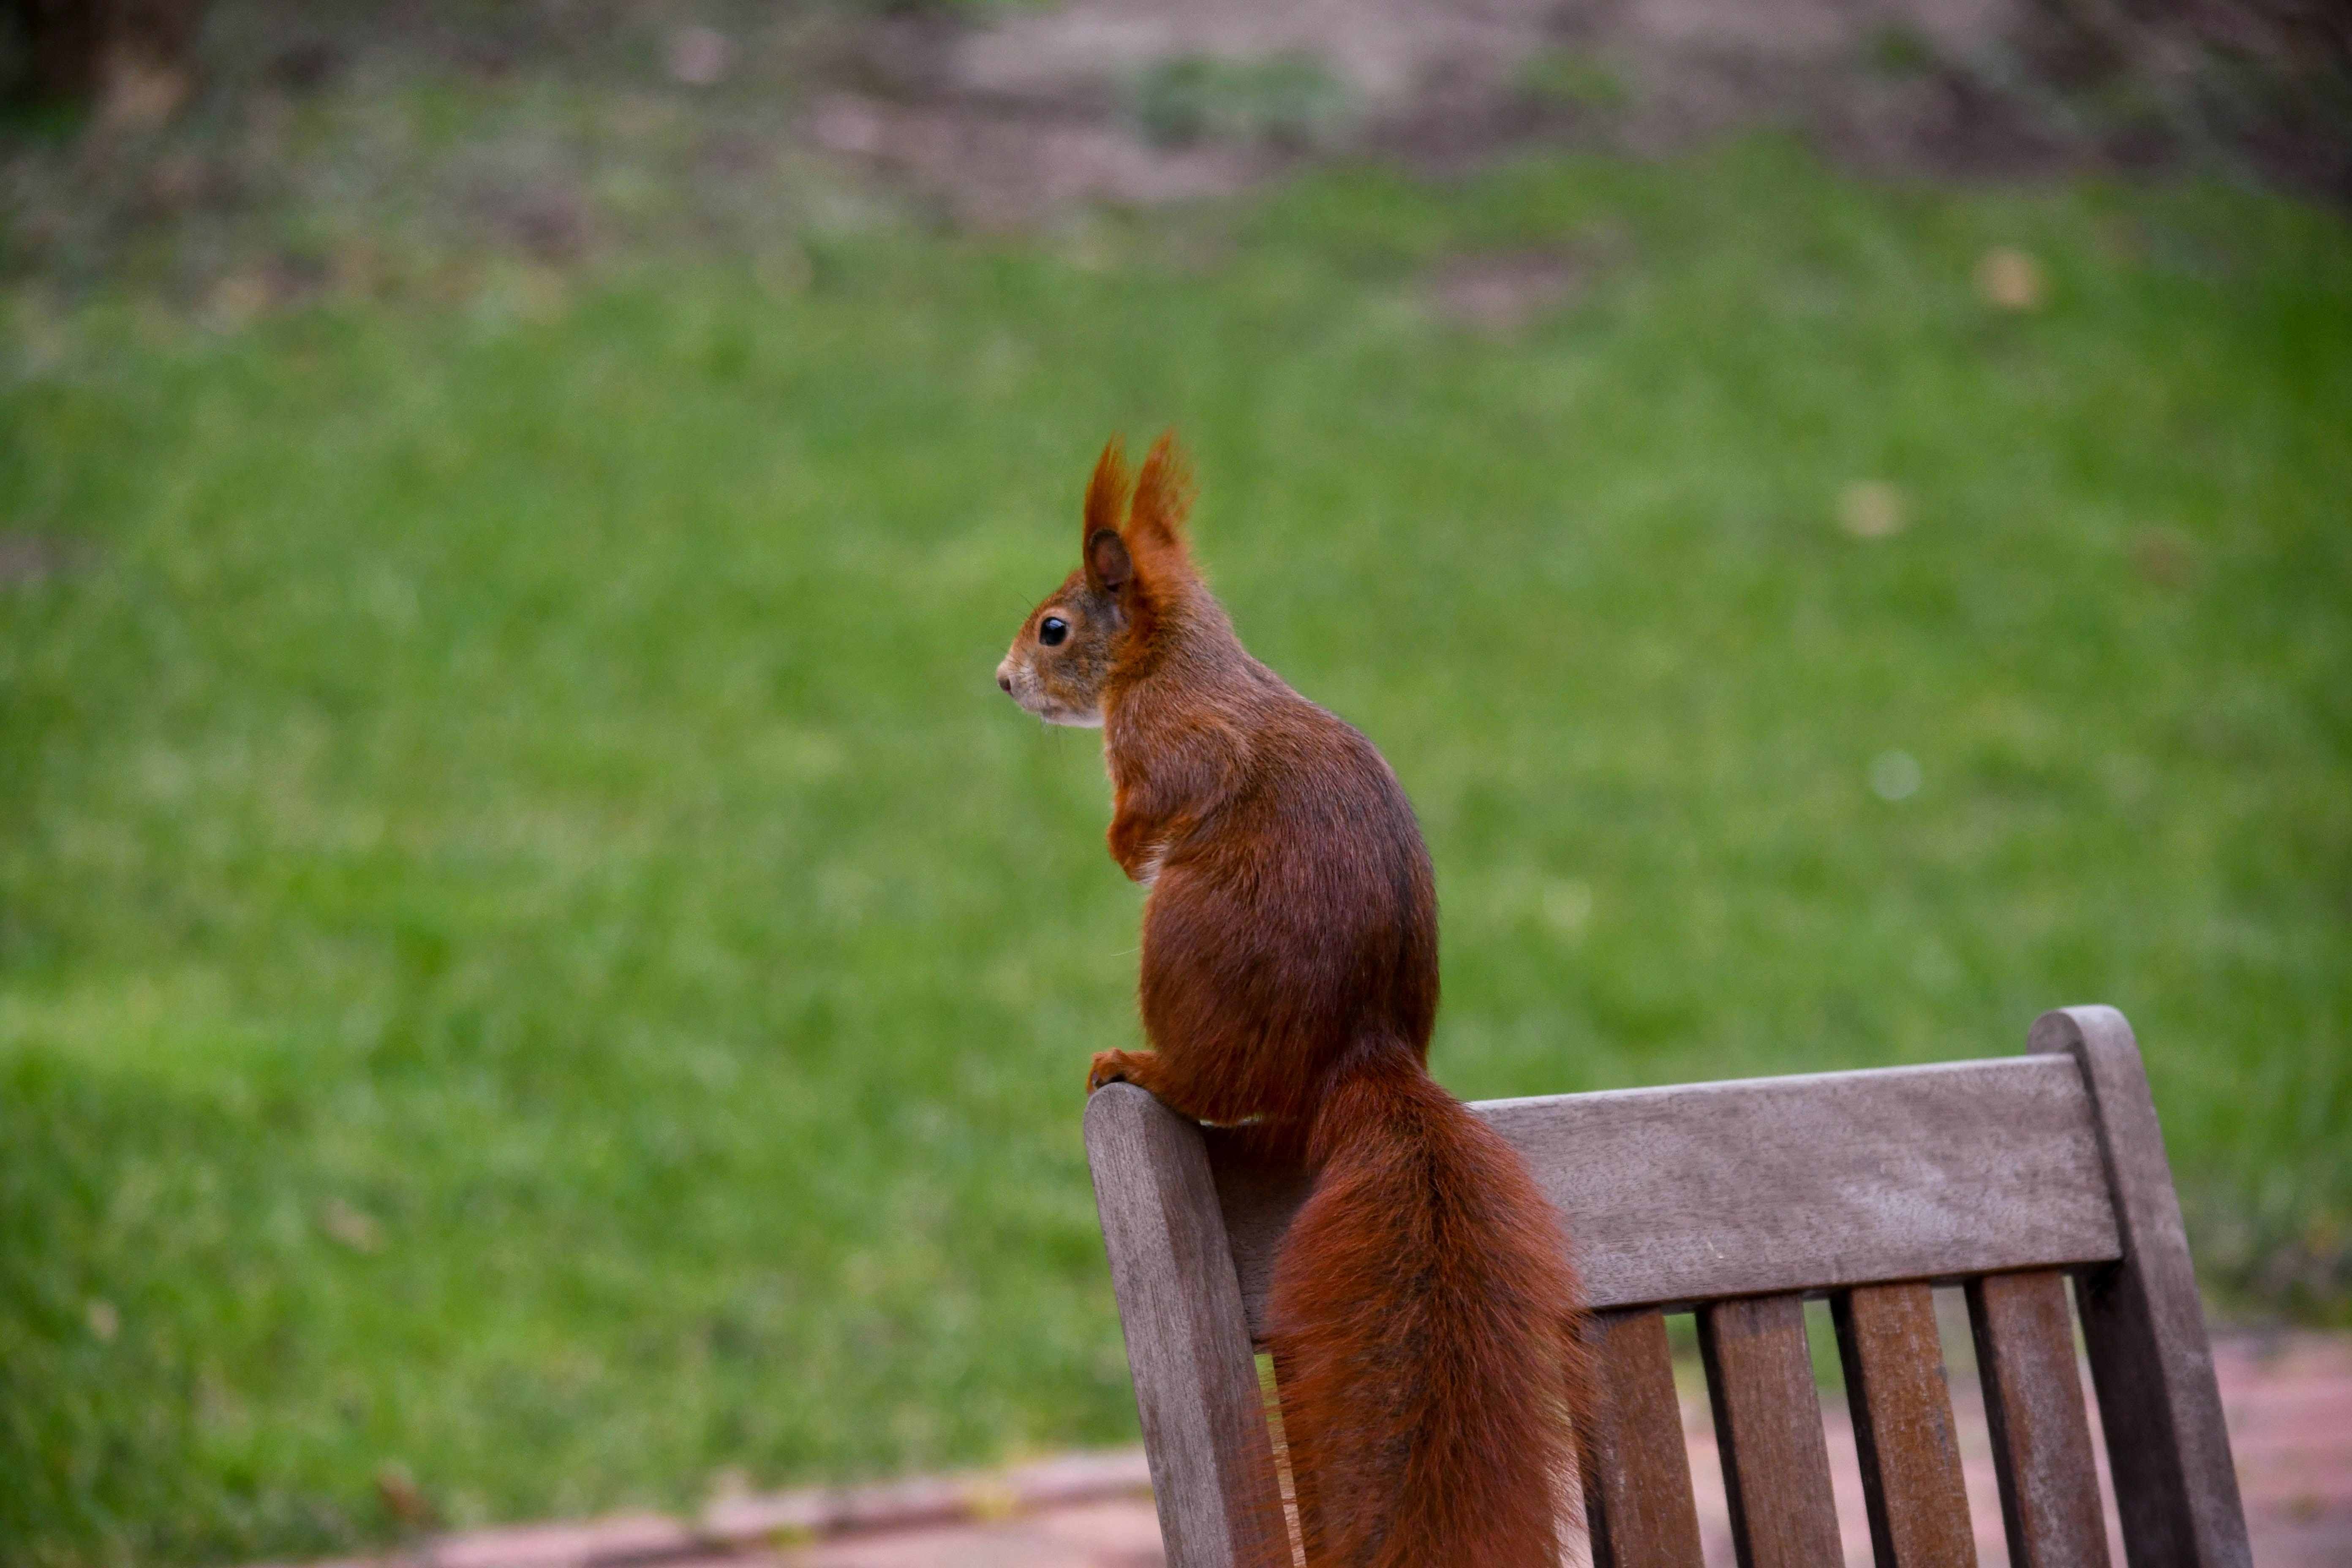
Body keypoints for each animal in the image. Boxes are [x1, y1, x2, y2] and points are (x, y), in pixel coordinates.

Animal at [997, 434, 1592, 1568]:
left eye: (1054, 627)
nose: (1001, 679)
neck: (1172, 661)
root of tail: (1359, 1055)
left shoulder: (1174, 745)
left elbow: (1158, 800)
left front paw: (1122, 844)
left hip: (1185, 937)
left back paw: (1138, 1066)